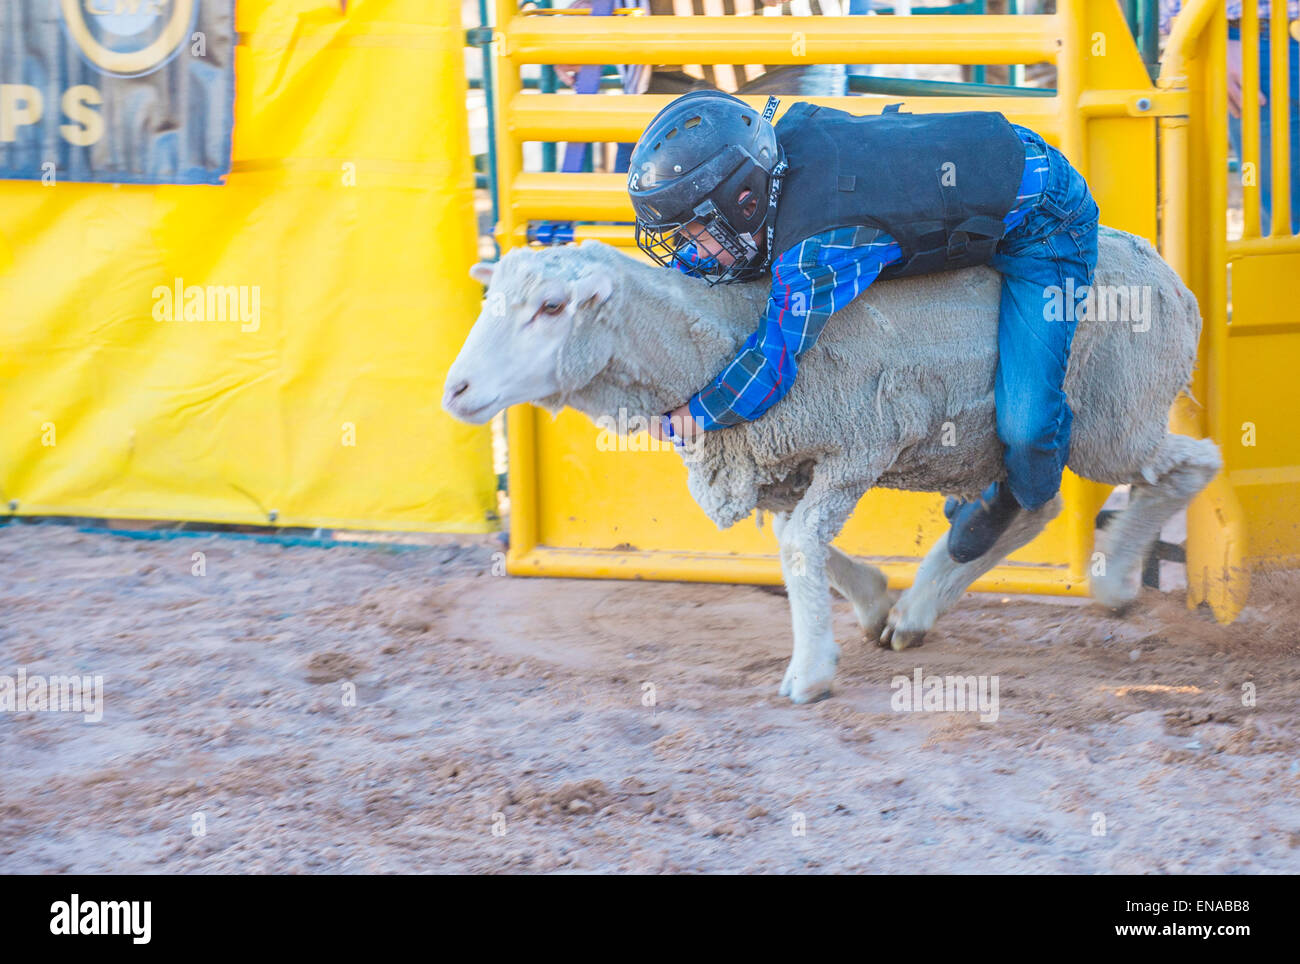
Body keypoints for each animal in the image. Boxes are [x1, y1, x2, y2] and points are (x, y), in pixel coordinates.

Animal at [443, 227, 1222, 703]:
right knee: (1036, 506)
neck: (724, 336)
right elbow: (792, 541)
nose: (455, 391)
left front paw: (810, 672)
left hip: (1111, 416)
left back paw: (1115, 582)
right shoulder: (777, 461)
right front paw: (873, 599)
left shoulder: (858, 446)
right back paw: (918, 607)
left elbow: (795, 547)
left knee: (1189, 466)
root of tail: (1170, 275)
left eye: (551, 307)